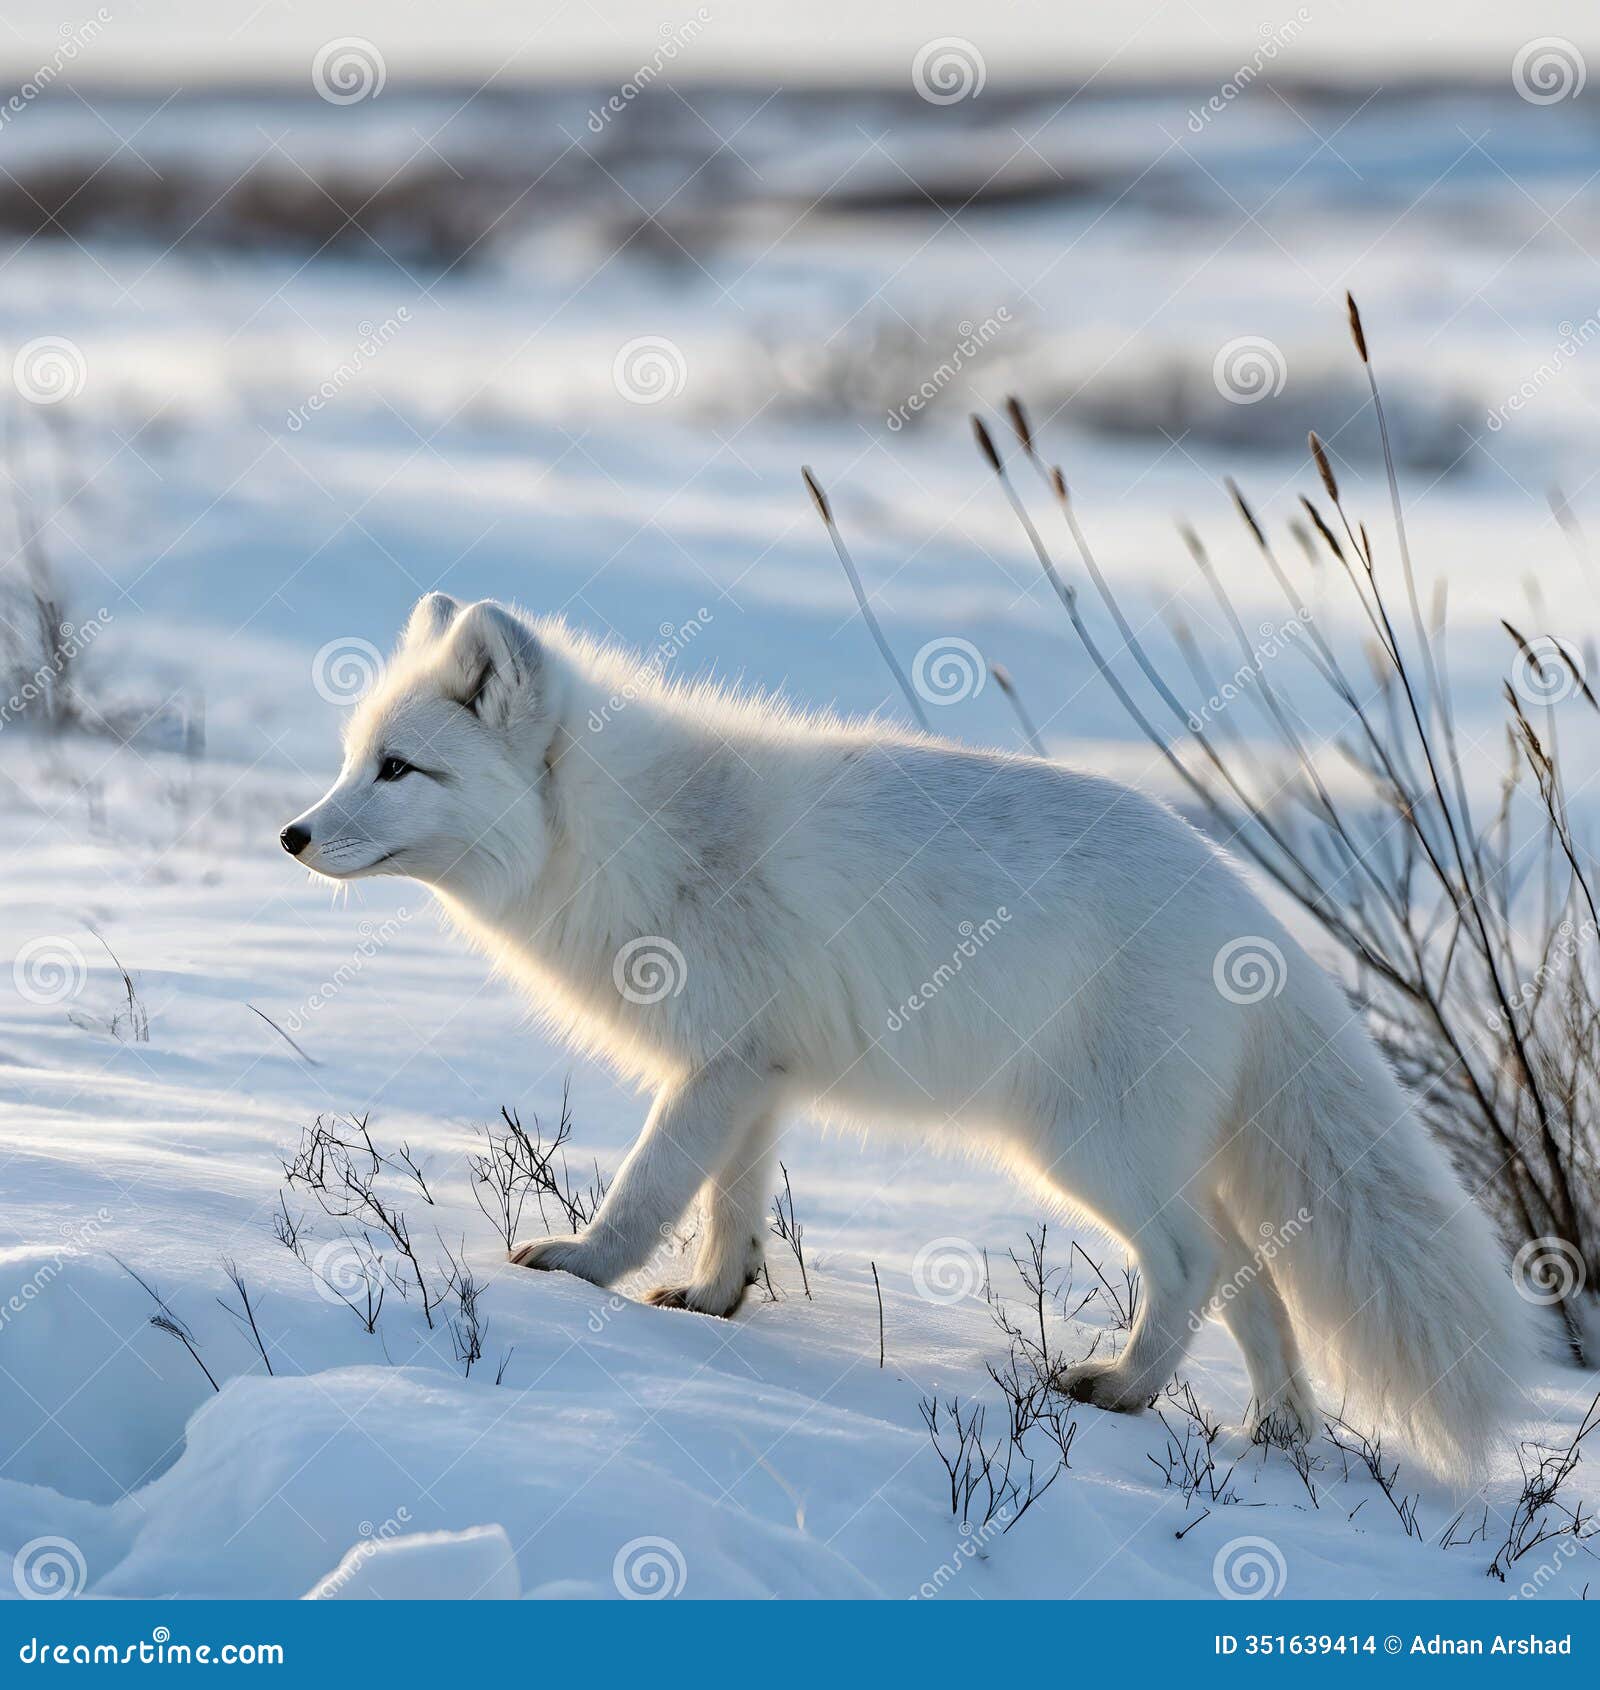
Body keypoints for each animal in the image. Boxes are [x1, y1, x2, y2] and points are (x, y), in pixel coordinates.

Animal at [281, 592, 1531, 1475]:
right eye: (350, 757)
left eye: (399, 768)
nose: (291, 835)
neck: (621, 828)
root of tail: (1250, 910)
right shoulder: (755, 1072)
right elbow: (732, 1206)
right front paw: (713, 1300)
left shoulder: (715, 1063)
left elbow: (646, 1190)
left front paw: (579, 1270)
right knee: (1253, 1276)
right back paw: (1275, 1431)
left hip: (1084, 1145)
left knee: (1194, 1262)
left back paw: (1123, 1389)